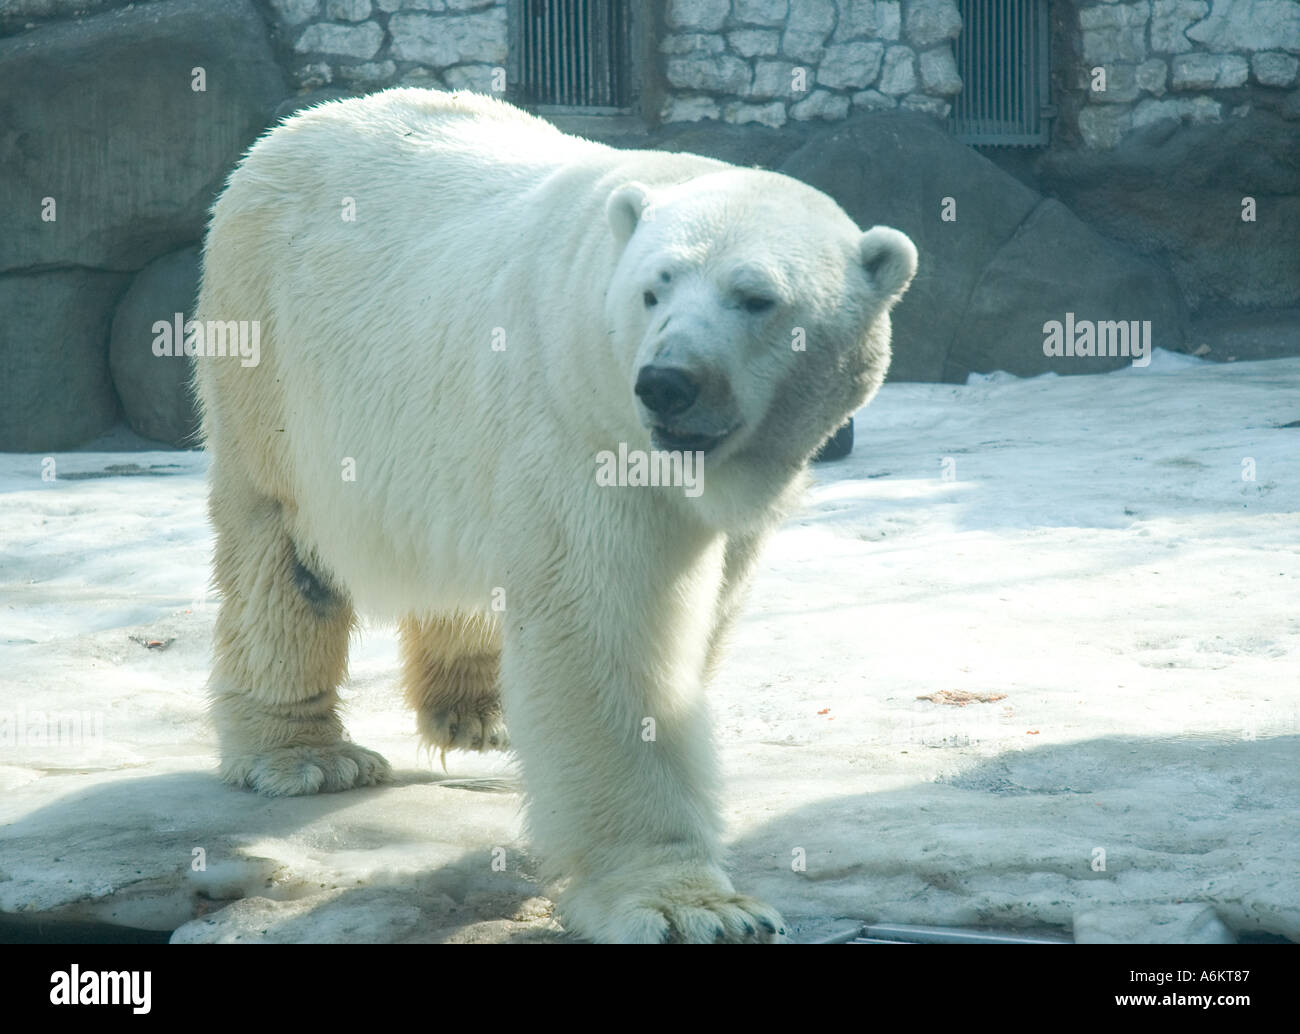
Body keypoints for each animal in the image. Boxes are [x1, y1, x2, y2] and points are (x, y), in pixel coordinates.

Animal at [193, 88, 916, 943]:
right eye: (654, 289)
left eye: (757, 299)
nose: (667, 382)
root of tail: (291, 130)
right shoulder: (583, 427)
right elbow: (608, 631)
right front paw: (688, 905)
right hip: (269, 354)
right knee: (280, 546)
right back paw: (307, 755)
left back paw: (480, 713)